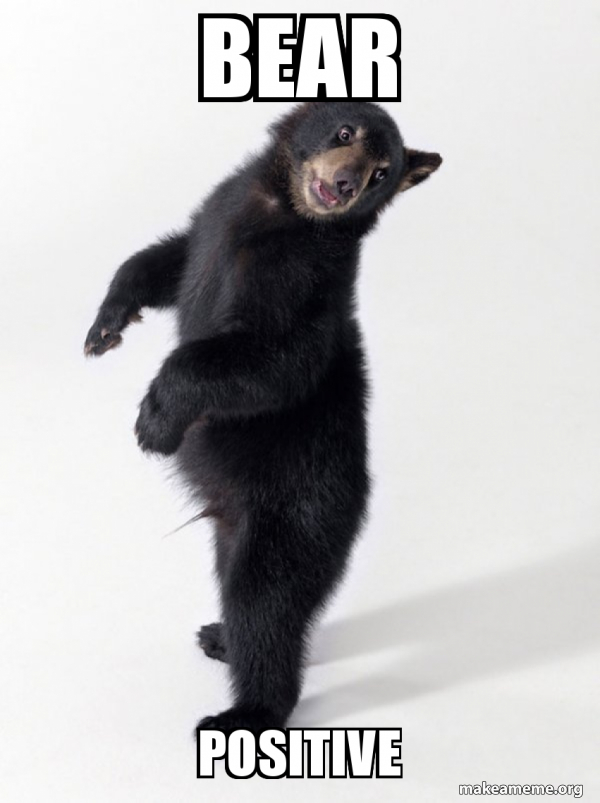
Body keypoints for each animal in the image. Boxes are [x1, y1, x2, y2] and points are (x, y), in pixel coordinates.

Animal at [84, 101, 441, 735]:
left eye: (383, 173)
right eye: (344, 131)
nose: (346, 185)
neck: (282, 211)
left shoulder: (301, 283)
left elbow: (271, 361)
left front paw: (155, 421)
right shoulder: (215, 215)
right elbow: (169, 259)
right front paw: (107, 322)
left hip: (292, 520)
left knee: (265, 604)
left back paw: (242, 713)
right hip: (243, 533)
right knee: (260, 600)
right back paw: (221, 637)